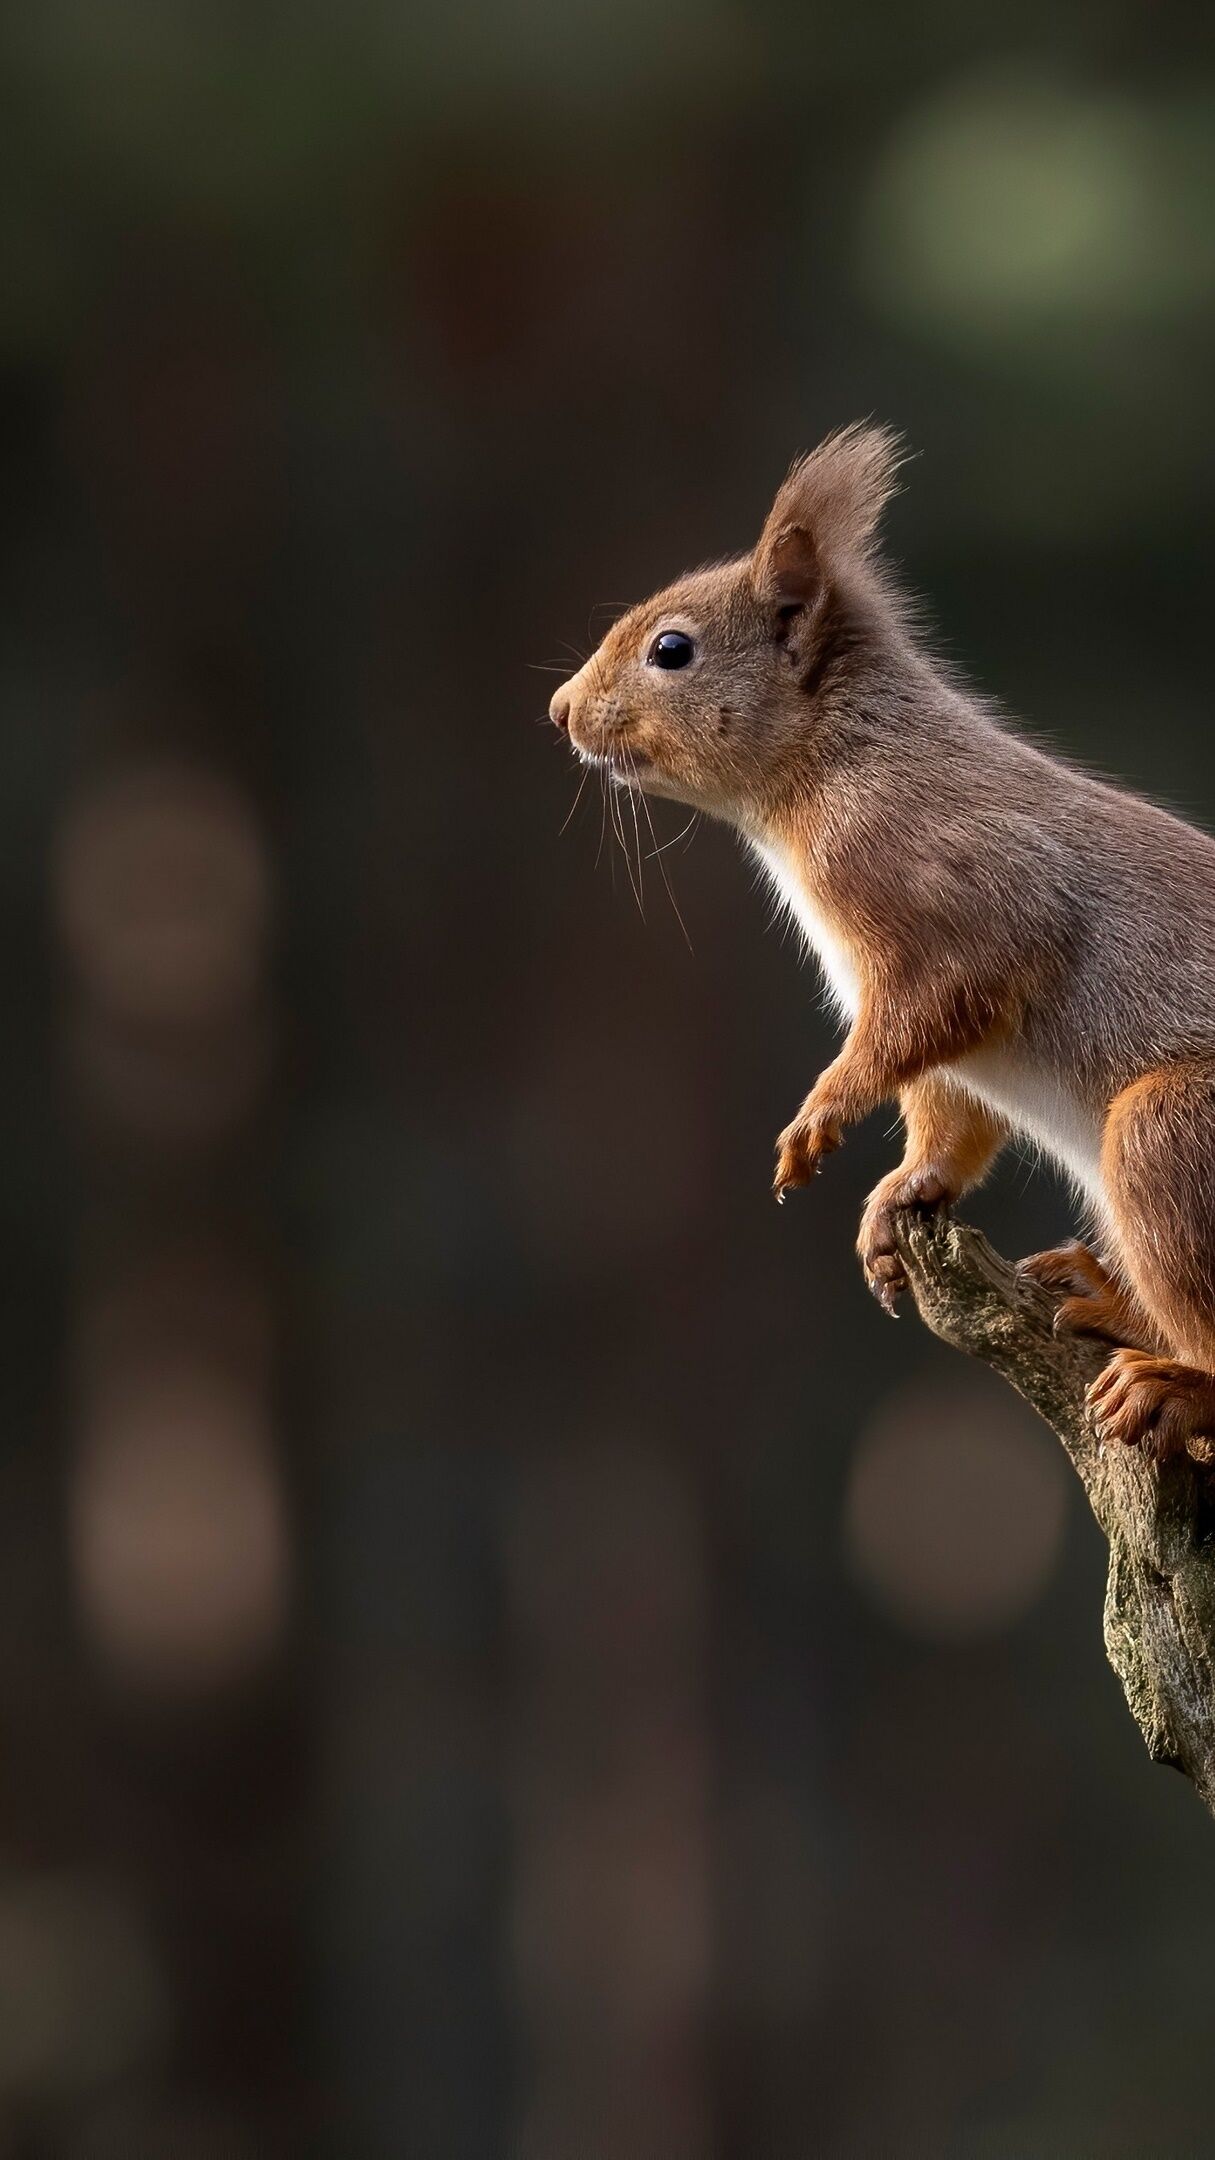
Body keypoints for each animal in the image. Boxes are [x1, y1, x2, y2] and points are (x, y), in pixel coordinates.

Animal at [549, 423, 1215, 1464]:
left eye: (672, 650)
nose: (558, 711)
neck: (829, 766)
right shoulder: (920, 1020)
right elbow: (945, 1111)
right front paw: (897, 1195)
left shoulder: (955, 897)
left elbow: (933, 1014)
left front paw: (819, 1114)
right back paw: (1100, 1298)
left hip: (1170, 1134)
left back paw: (1172, 1380)